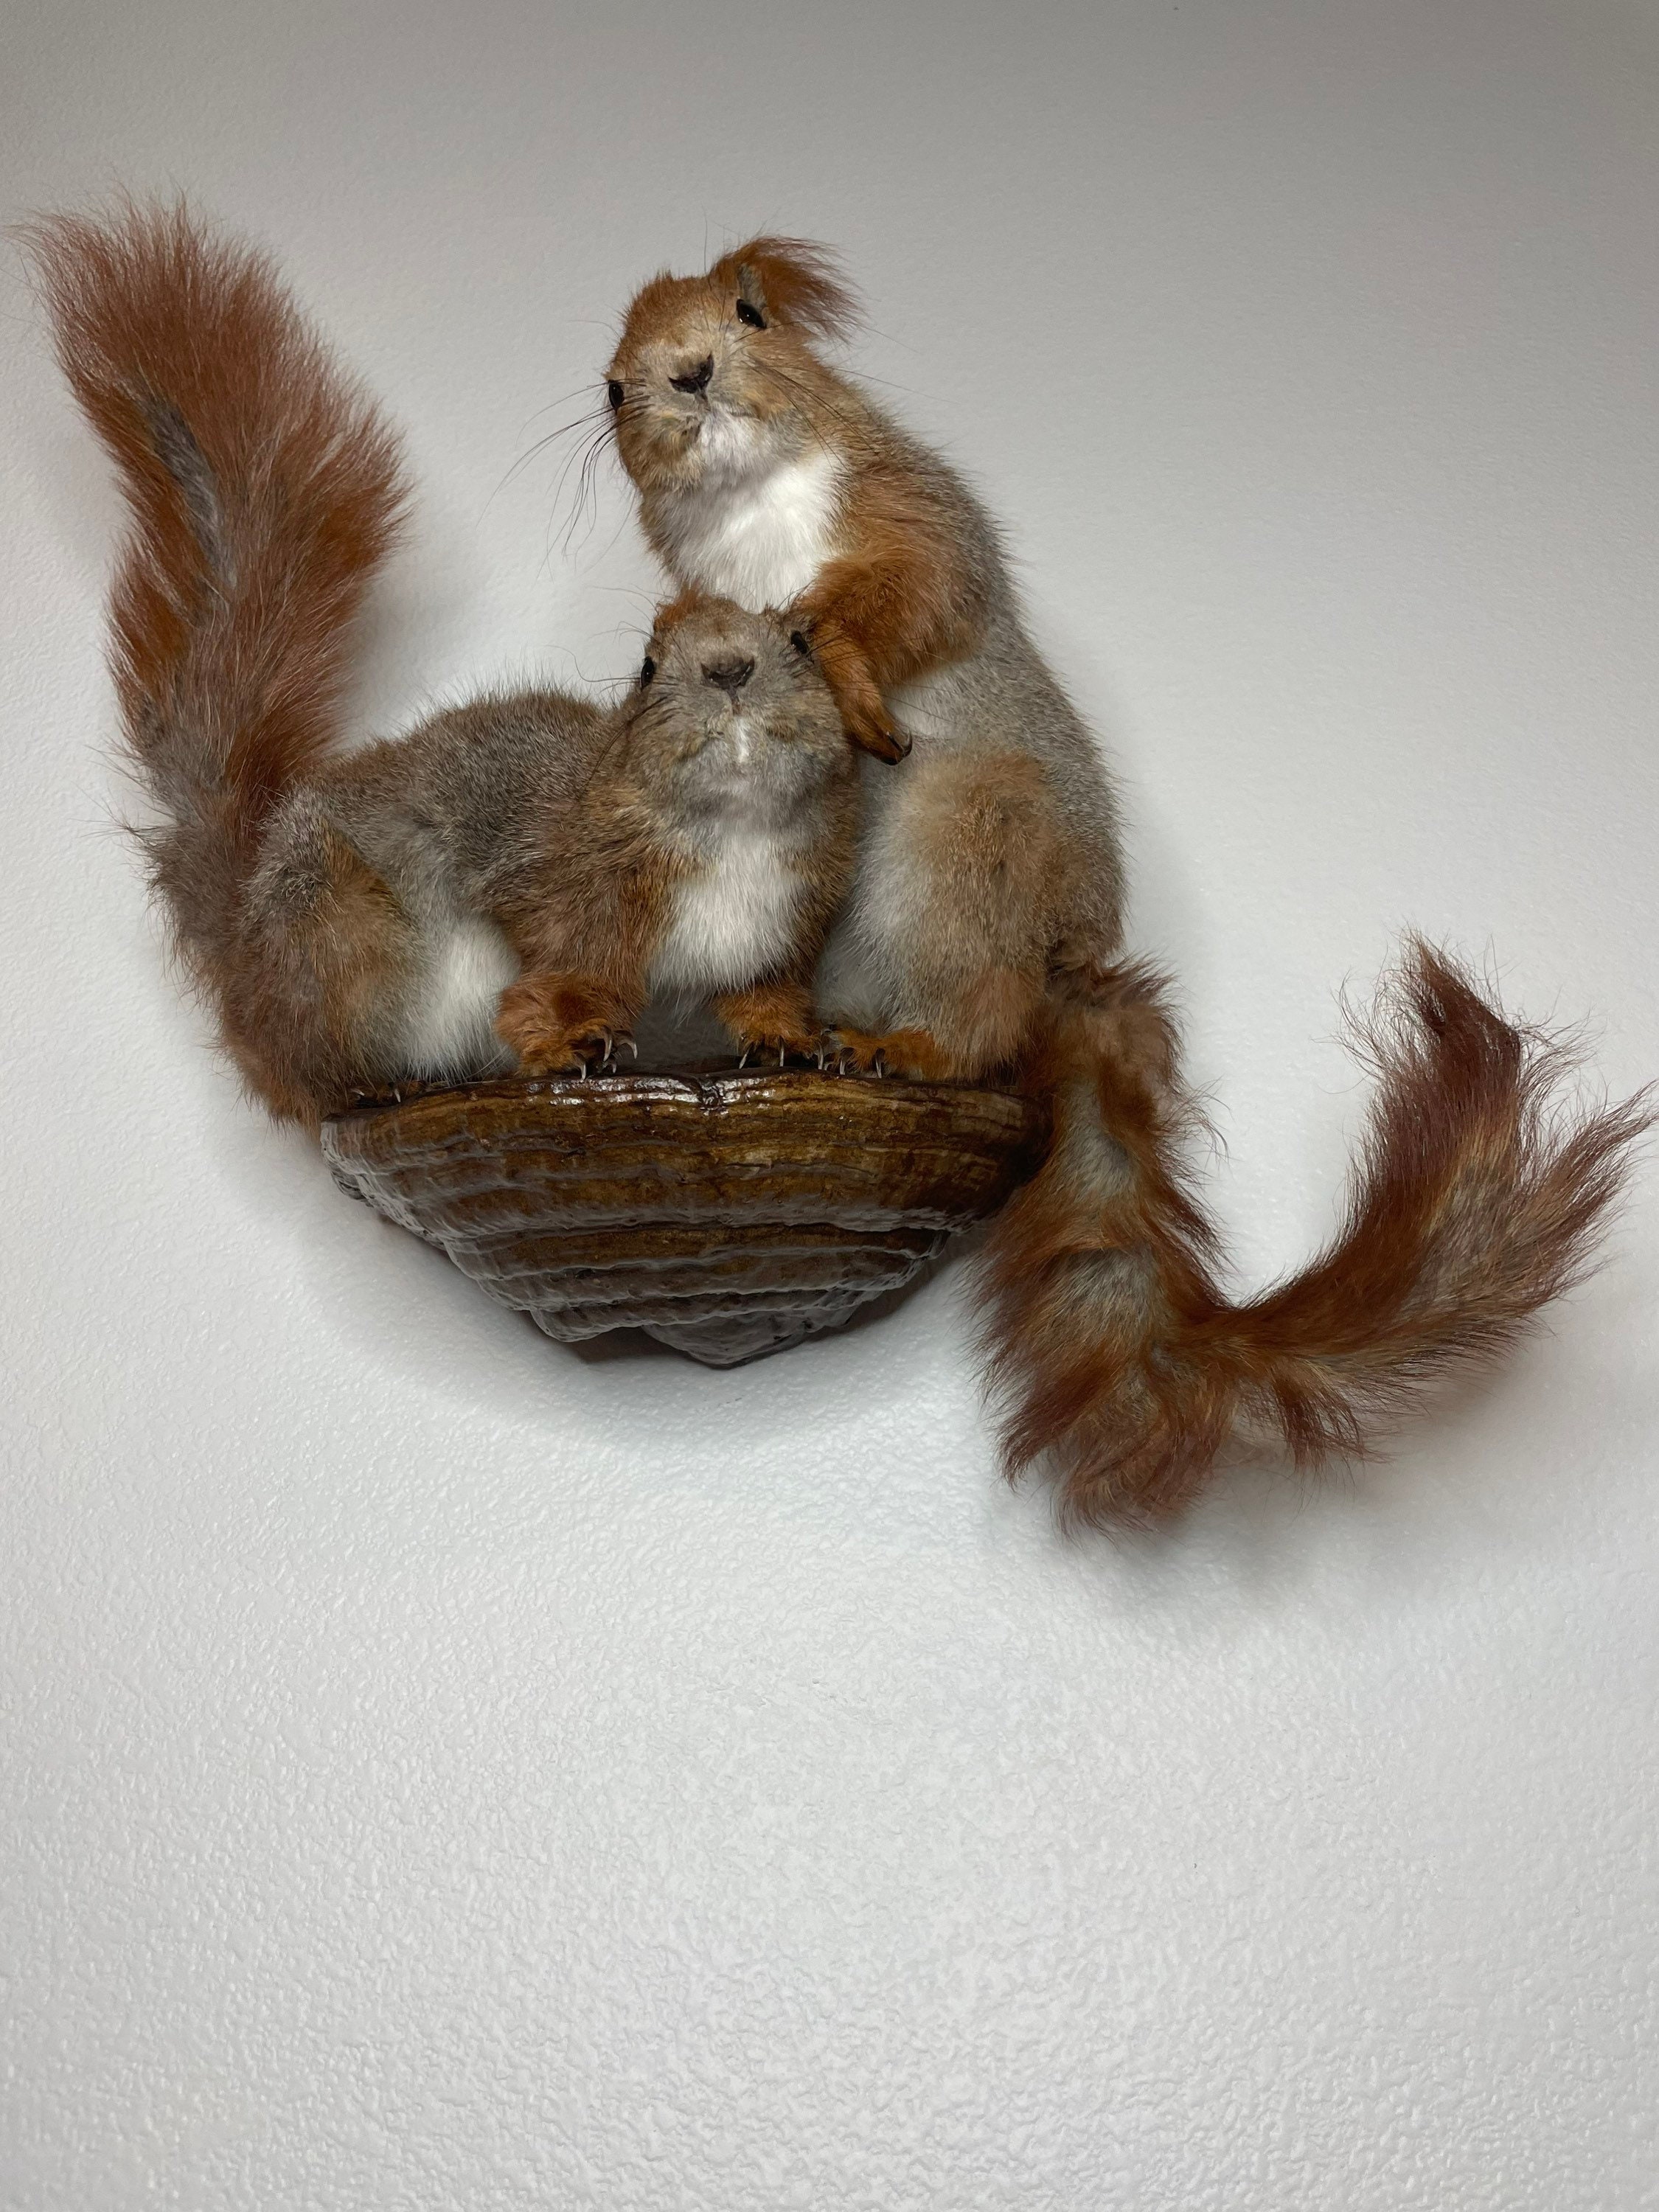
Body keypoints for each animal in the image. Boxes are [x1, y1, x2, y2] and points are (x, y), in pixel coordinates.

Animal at [29, 206, 859, 1128]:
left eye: (800, 642)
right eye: (646, 666)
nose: (728, 670)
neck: (733, 829)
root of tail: (245, 938)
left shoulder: (775, 934)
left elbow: (763, 997)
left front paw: (796, 1044)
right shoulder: (546, 888)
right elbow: (549, 988)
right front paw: (570, 1049)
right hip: (339, 946)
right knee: (295, 1073)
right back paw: (361, 1084)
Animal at [603, 235, 1652, 1521]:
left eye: (749, 315)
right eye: (611, 385)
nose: (688, 374)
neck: (751, 506)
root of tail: (1068, 969)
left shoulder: (911, 510)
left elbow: (913, 589)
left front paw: (839, 672)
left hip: (975, 838)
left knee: (987, 1013)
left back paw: (916, 1049)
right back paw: (814, 1040)